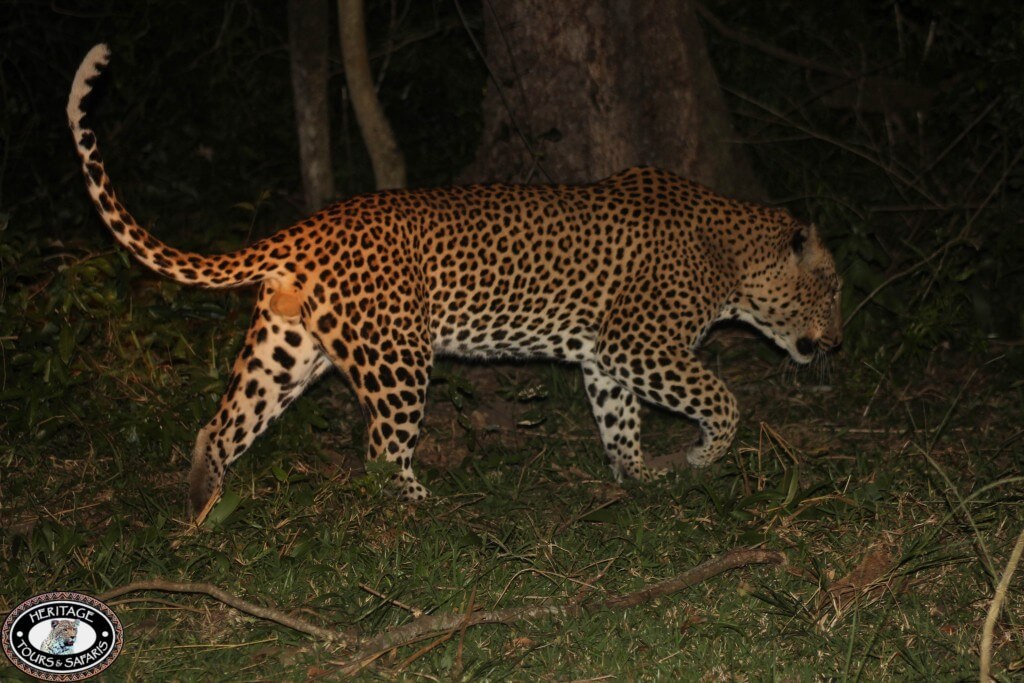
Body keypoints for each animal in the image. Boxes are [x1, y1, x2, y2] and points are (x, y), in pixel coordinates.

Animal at [67, 44, 842, 520]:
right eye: (832, 289)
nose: (836, 344)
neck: (733, 251)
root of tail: (307, 228)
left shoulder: (607, 355)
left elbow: (620, 420)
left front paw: (637, 476)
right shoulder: (640, 343)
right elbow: (722, 398)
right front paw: (701, 456)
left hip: (288, 349)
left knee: (224, 421)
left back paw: (201, 501)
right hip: (397, 357)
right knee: (381, 452)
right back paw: (427, 509)